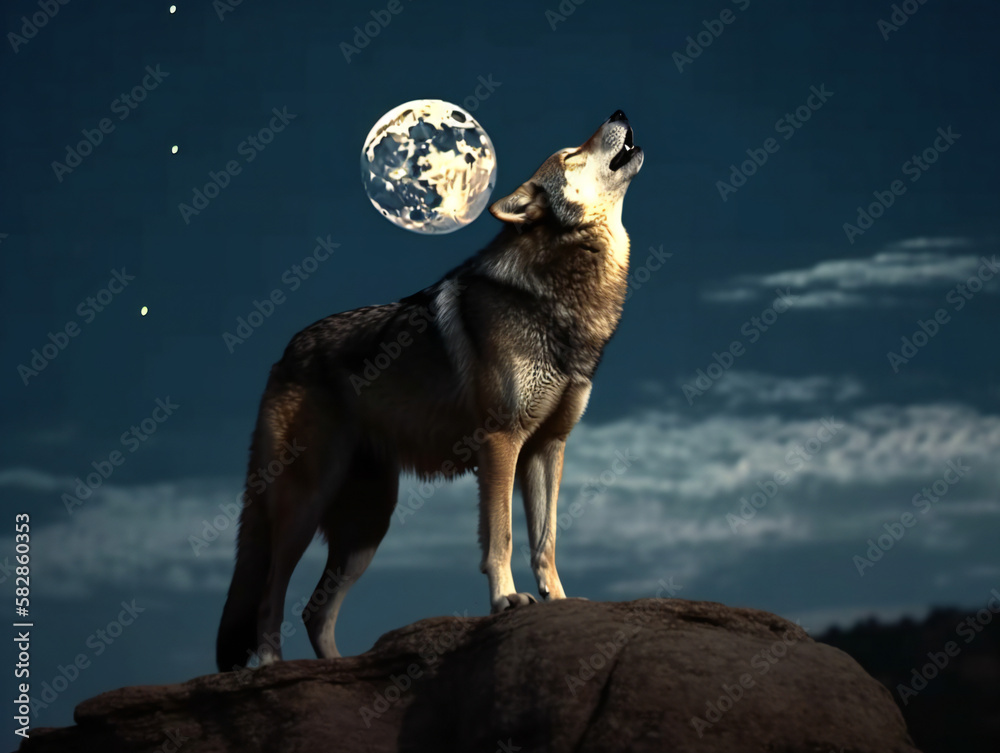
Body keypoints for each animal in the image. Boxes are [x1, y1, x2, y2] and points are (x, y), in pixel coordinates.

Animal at [216, 110, 643, 670]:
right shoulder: (501, 443)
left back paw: (340, 666)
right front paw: (506, 600)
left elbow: (546, 541)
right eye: (572, 154)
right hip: (303, 506)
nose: (619, 113)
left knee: (313, 610)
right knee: (271, 593)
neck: (561, 298)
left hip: (368, 526)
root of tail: (284, 353)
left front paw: (560, 601)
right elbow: (502, 535)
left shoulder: (547, 447)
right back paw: (271, 665)